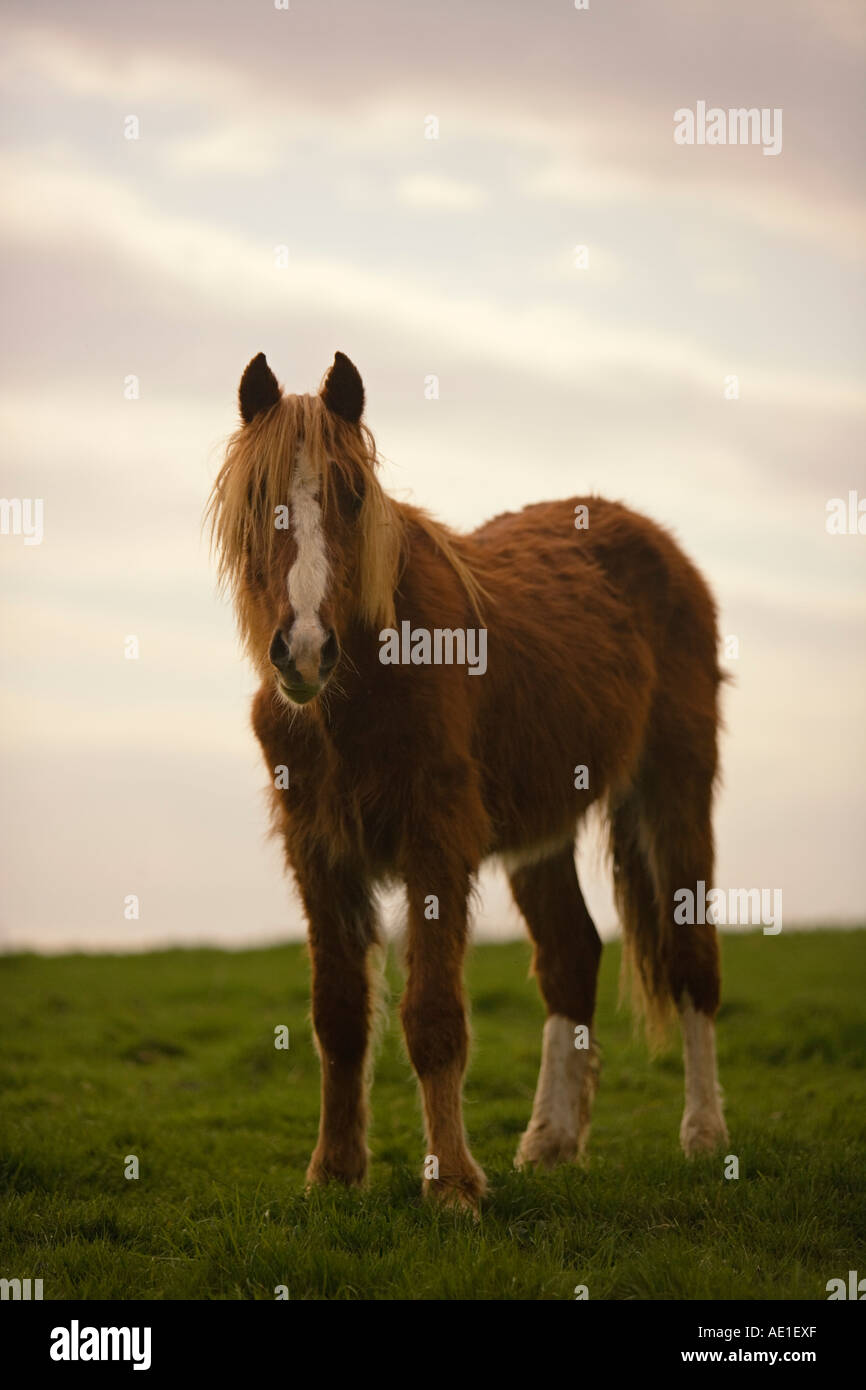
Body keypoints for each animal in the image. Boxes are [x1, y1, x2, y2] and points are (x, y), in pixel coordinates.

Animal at [208, 349, 729, 1211]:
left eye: (353, 496)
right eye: (258, 500)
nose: (304, 650)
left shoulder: (436, 843)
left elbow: (433, 1017)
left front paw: (452, 1185)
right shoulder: (319, 854)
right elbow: (339, 1015)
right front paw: (334, 1174)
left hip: (674, 791)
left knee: (690, 957)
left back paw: (704, 1137)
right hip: (542, 831)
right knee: (571, 958)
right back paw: (550, 1144)